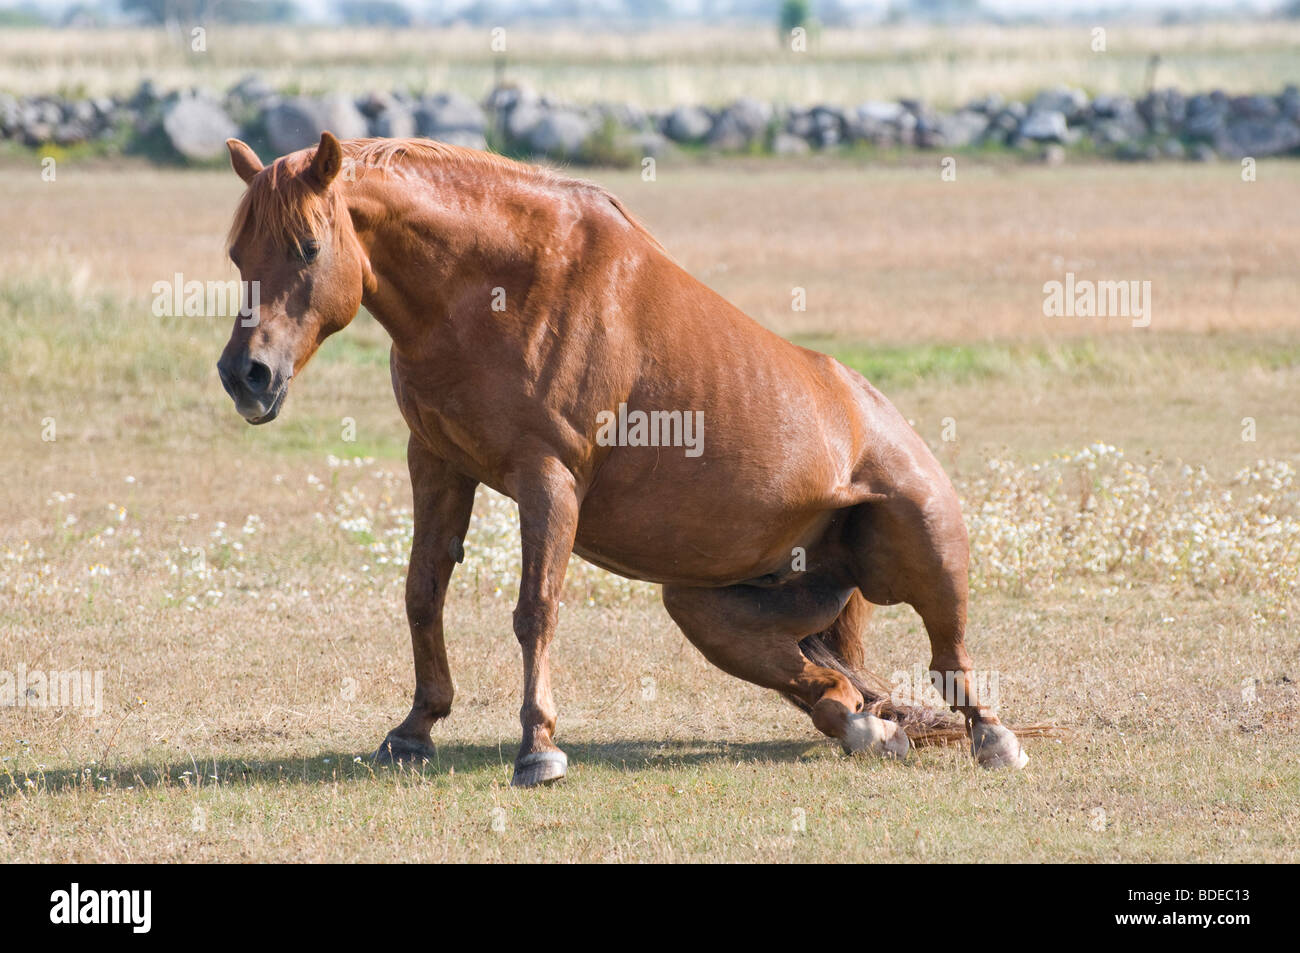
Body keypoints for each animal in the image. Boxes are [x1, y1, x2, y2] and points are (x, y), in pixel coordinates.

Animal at [217, 132, 1032, 786]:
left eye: (308, 247)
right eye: (235, 254)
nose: (245, 375)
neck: (504, 287)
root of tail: (877, 412)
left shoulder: (547, 479)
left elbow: (535, 610)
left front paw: (538, 748)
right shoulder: (437, 463)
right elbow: (423, 593)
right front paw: (415, 730)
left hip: (925, 553)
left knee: (951, 662)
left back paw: (992, 738)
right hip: (703, 605)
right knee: (828, 686)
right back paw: (868, 726)